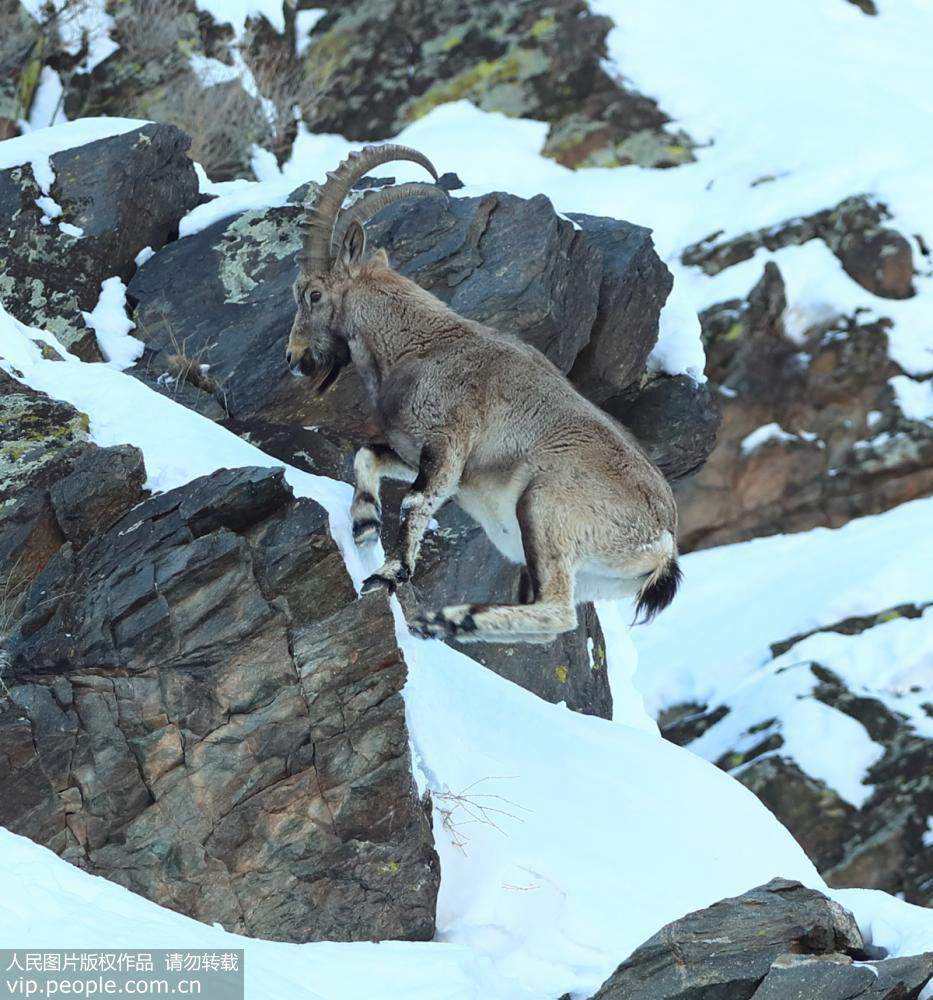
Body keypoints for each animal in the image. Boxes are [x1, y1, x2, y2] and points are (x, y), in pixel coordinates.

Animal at [285, 145, 681, 644]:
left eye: (313, 294)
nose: (294, 357)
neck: (421, 345)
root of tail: (662, 545)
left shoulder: (448, 445)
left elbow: (414, 502)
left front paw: (388, 573)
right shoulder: (422, 457)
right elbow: (366, 455)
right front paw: (363, 524)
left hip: (546, 508)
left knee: (557, 611)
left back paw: (446, 619)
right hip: (588, 572)